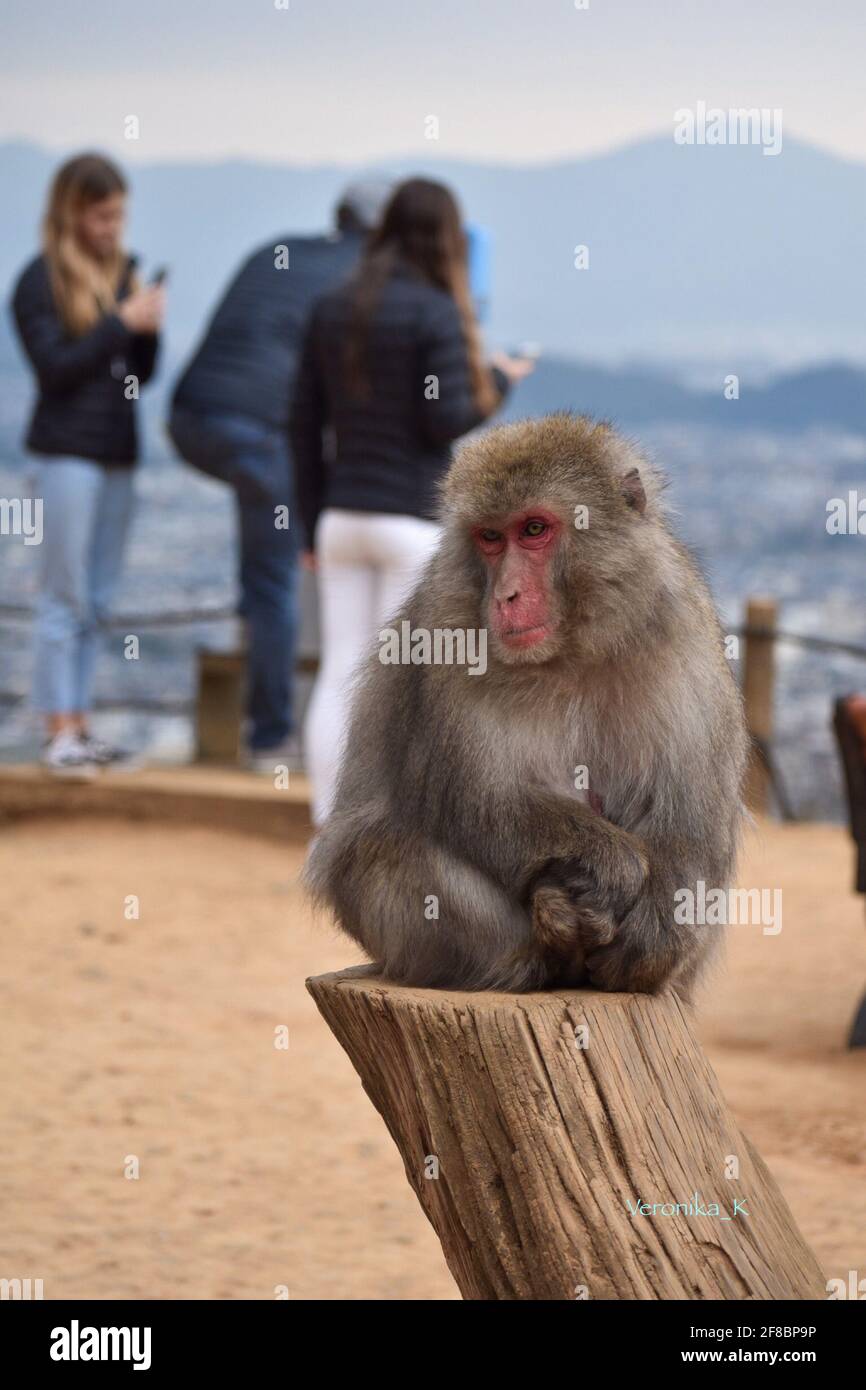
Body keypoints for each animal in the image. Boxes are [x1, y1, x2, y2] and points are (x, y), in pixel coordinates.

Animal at [305, 413, 749, 999]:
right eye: (491, 538)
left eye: (534, 530)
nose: (507, 596)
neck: (572, 647)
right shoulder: (447, 631)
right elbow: (481, 797)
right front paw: (615, 866)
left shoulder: (682, 627)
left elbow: (692, 806)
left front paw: (656, 934)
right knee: (381, 848)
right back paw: (547, 942)